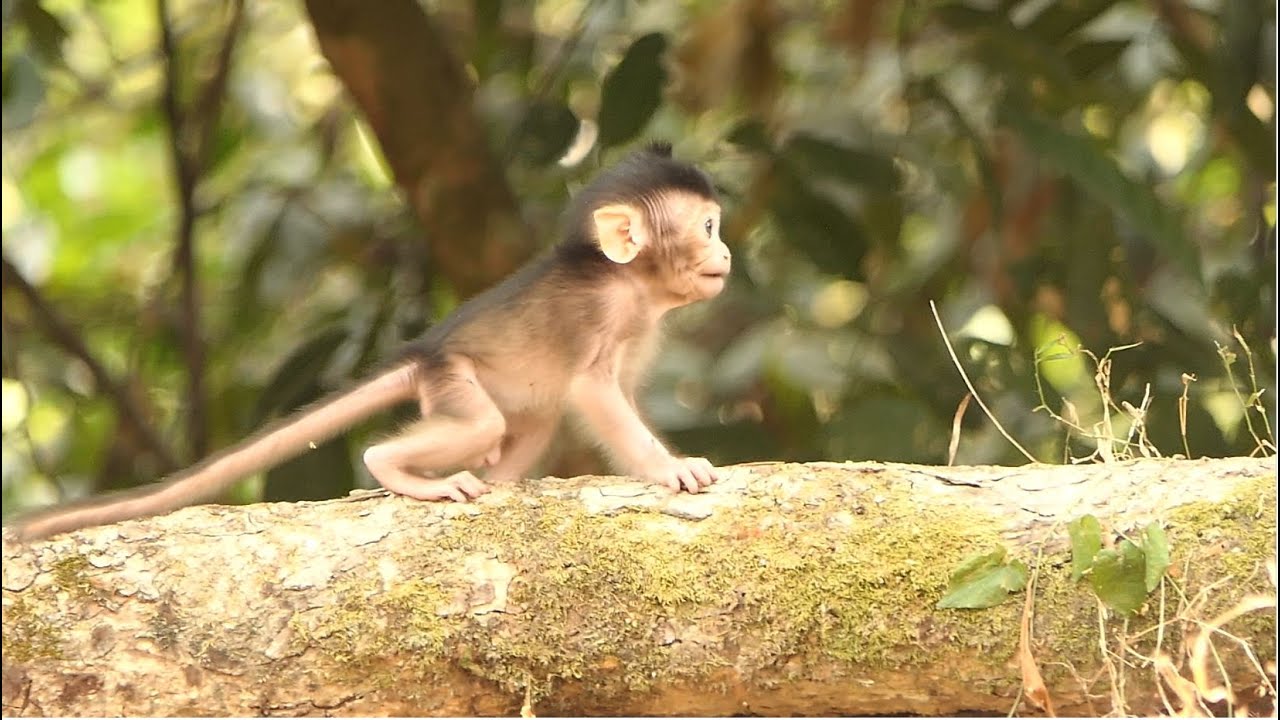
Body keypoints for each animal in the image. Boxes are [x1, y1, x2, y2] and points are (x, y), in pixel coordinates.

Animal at [8, 143, 732, 542]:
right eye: (707, 227)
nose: (724, 252)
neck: (630, 283)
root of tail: (423, 354)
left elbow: (611, 394)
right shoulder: (603, 313)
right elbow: (594, 391)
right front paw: (667, 467)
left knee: (527, 425)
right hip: (455, 379)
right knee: (478, 424)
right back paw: (394, 468)